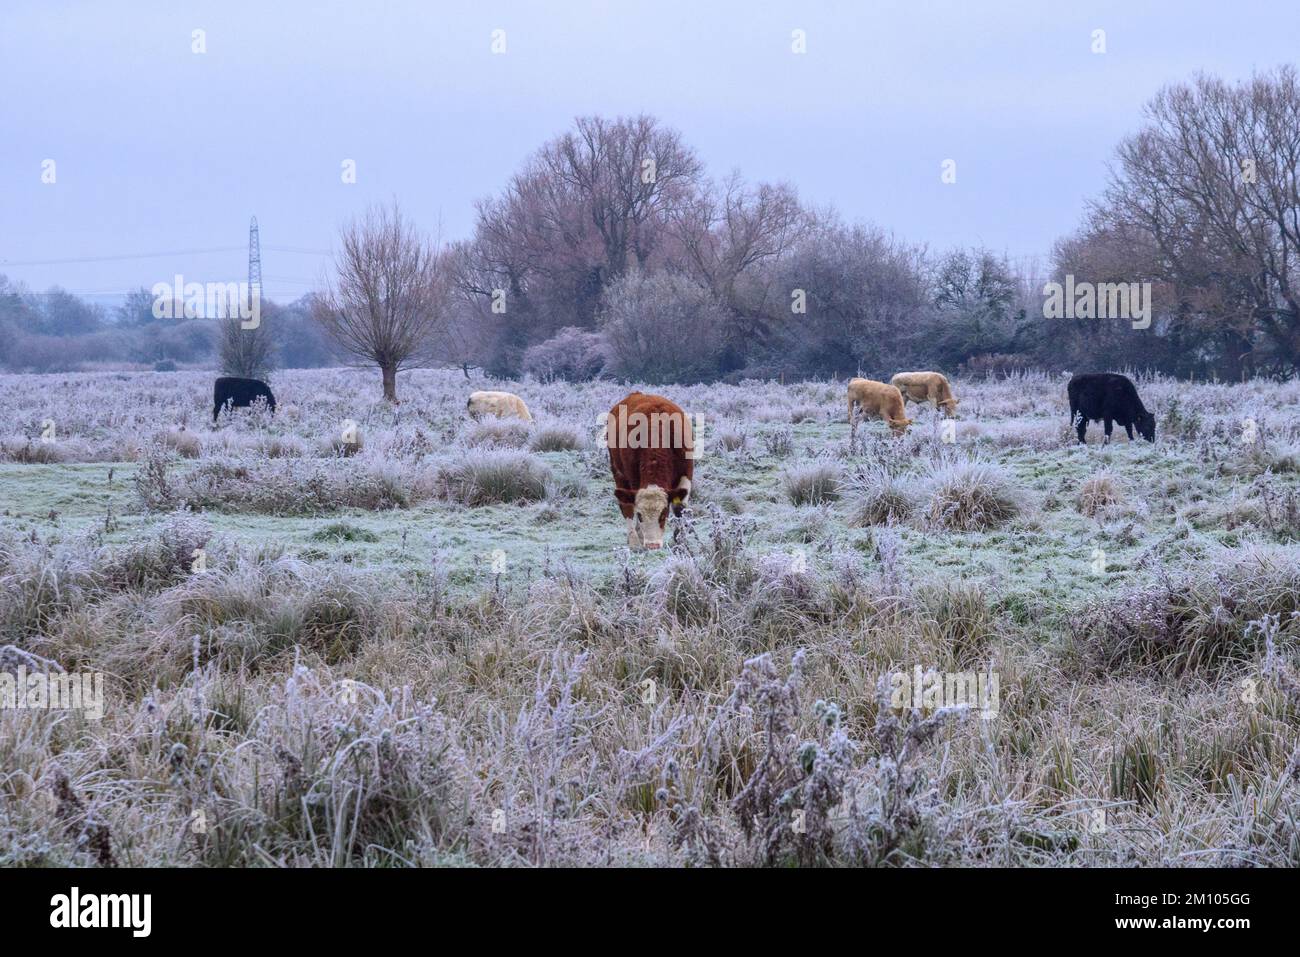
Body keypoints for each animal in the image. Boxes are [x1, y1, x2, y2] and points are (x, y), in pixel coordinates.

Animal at [606, 392, 694, 550]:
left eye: (663, 514)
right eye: (640, 516)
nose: (653, 545)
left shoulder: (686, 473)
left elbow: (680, 508)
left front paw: (680, 541)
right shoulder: (633, 477)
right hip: (618, 472)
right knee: (626, 506)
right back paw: (634, 540)